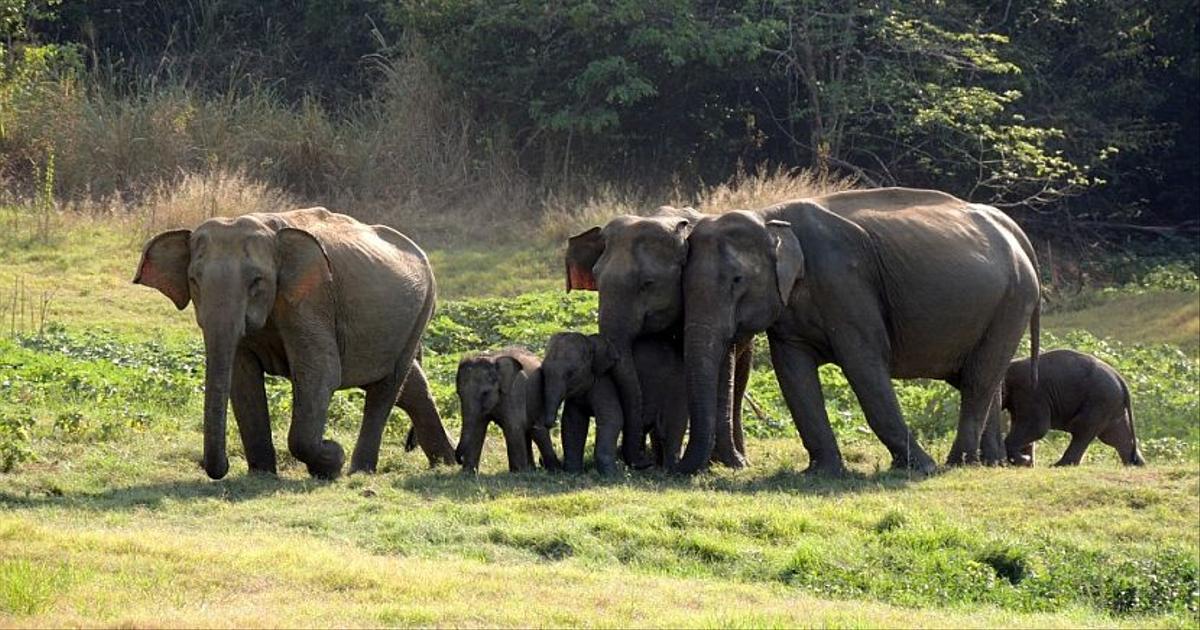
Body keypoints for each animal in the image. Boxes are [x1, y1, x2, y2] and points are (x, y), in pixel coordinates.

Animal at [133, 207, 457, 479]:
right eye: (194, 281)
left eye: (257, 281)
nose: (220, 468)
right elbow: (242, 378)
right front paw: (261, 475)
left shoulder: (311, 299)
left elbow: (321, 373)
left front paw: (331, 459)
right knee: (410, 384)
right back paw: (448, 462)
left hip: (422, 310)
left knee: (387, 387)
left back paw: (359, 471)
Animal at [540, 332, 626, 474]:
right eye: (543, 372)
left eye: (571, 374)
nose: (549, 425)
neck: (590, 341)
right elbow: (573, 422)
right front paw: (572, 473)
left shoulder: (605, 382)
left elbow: (612, 419)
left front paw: (611, 474)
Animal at [676, 188, 1041, 475]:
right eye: (683, 283)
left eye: (737, 280)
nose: (679, 470)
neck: (770, 216)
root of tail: (1014, 229)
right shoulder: (790, 314)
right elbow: (793, 374)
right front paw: (822, 472)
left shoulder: (845, 283)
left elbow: (864, 363)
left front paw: (921, 467)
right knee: (984, 378)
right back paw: (990, 462)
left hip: (1014, 300)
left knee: (978, 380)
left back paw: (957, 463)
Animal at [1003, 349, 1144, 467]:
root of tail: (1120, 379)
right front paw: (1025, 463)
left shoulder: (1030, 391)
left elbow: (1037, 427)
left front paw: (1022, 460)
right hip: (1111, 404)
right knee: (1114, 436)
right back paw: (1136, 465)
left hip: (1100, 401)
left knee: (1083, 429)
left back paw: (1058, 465)